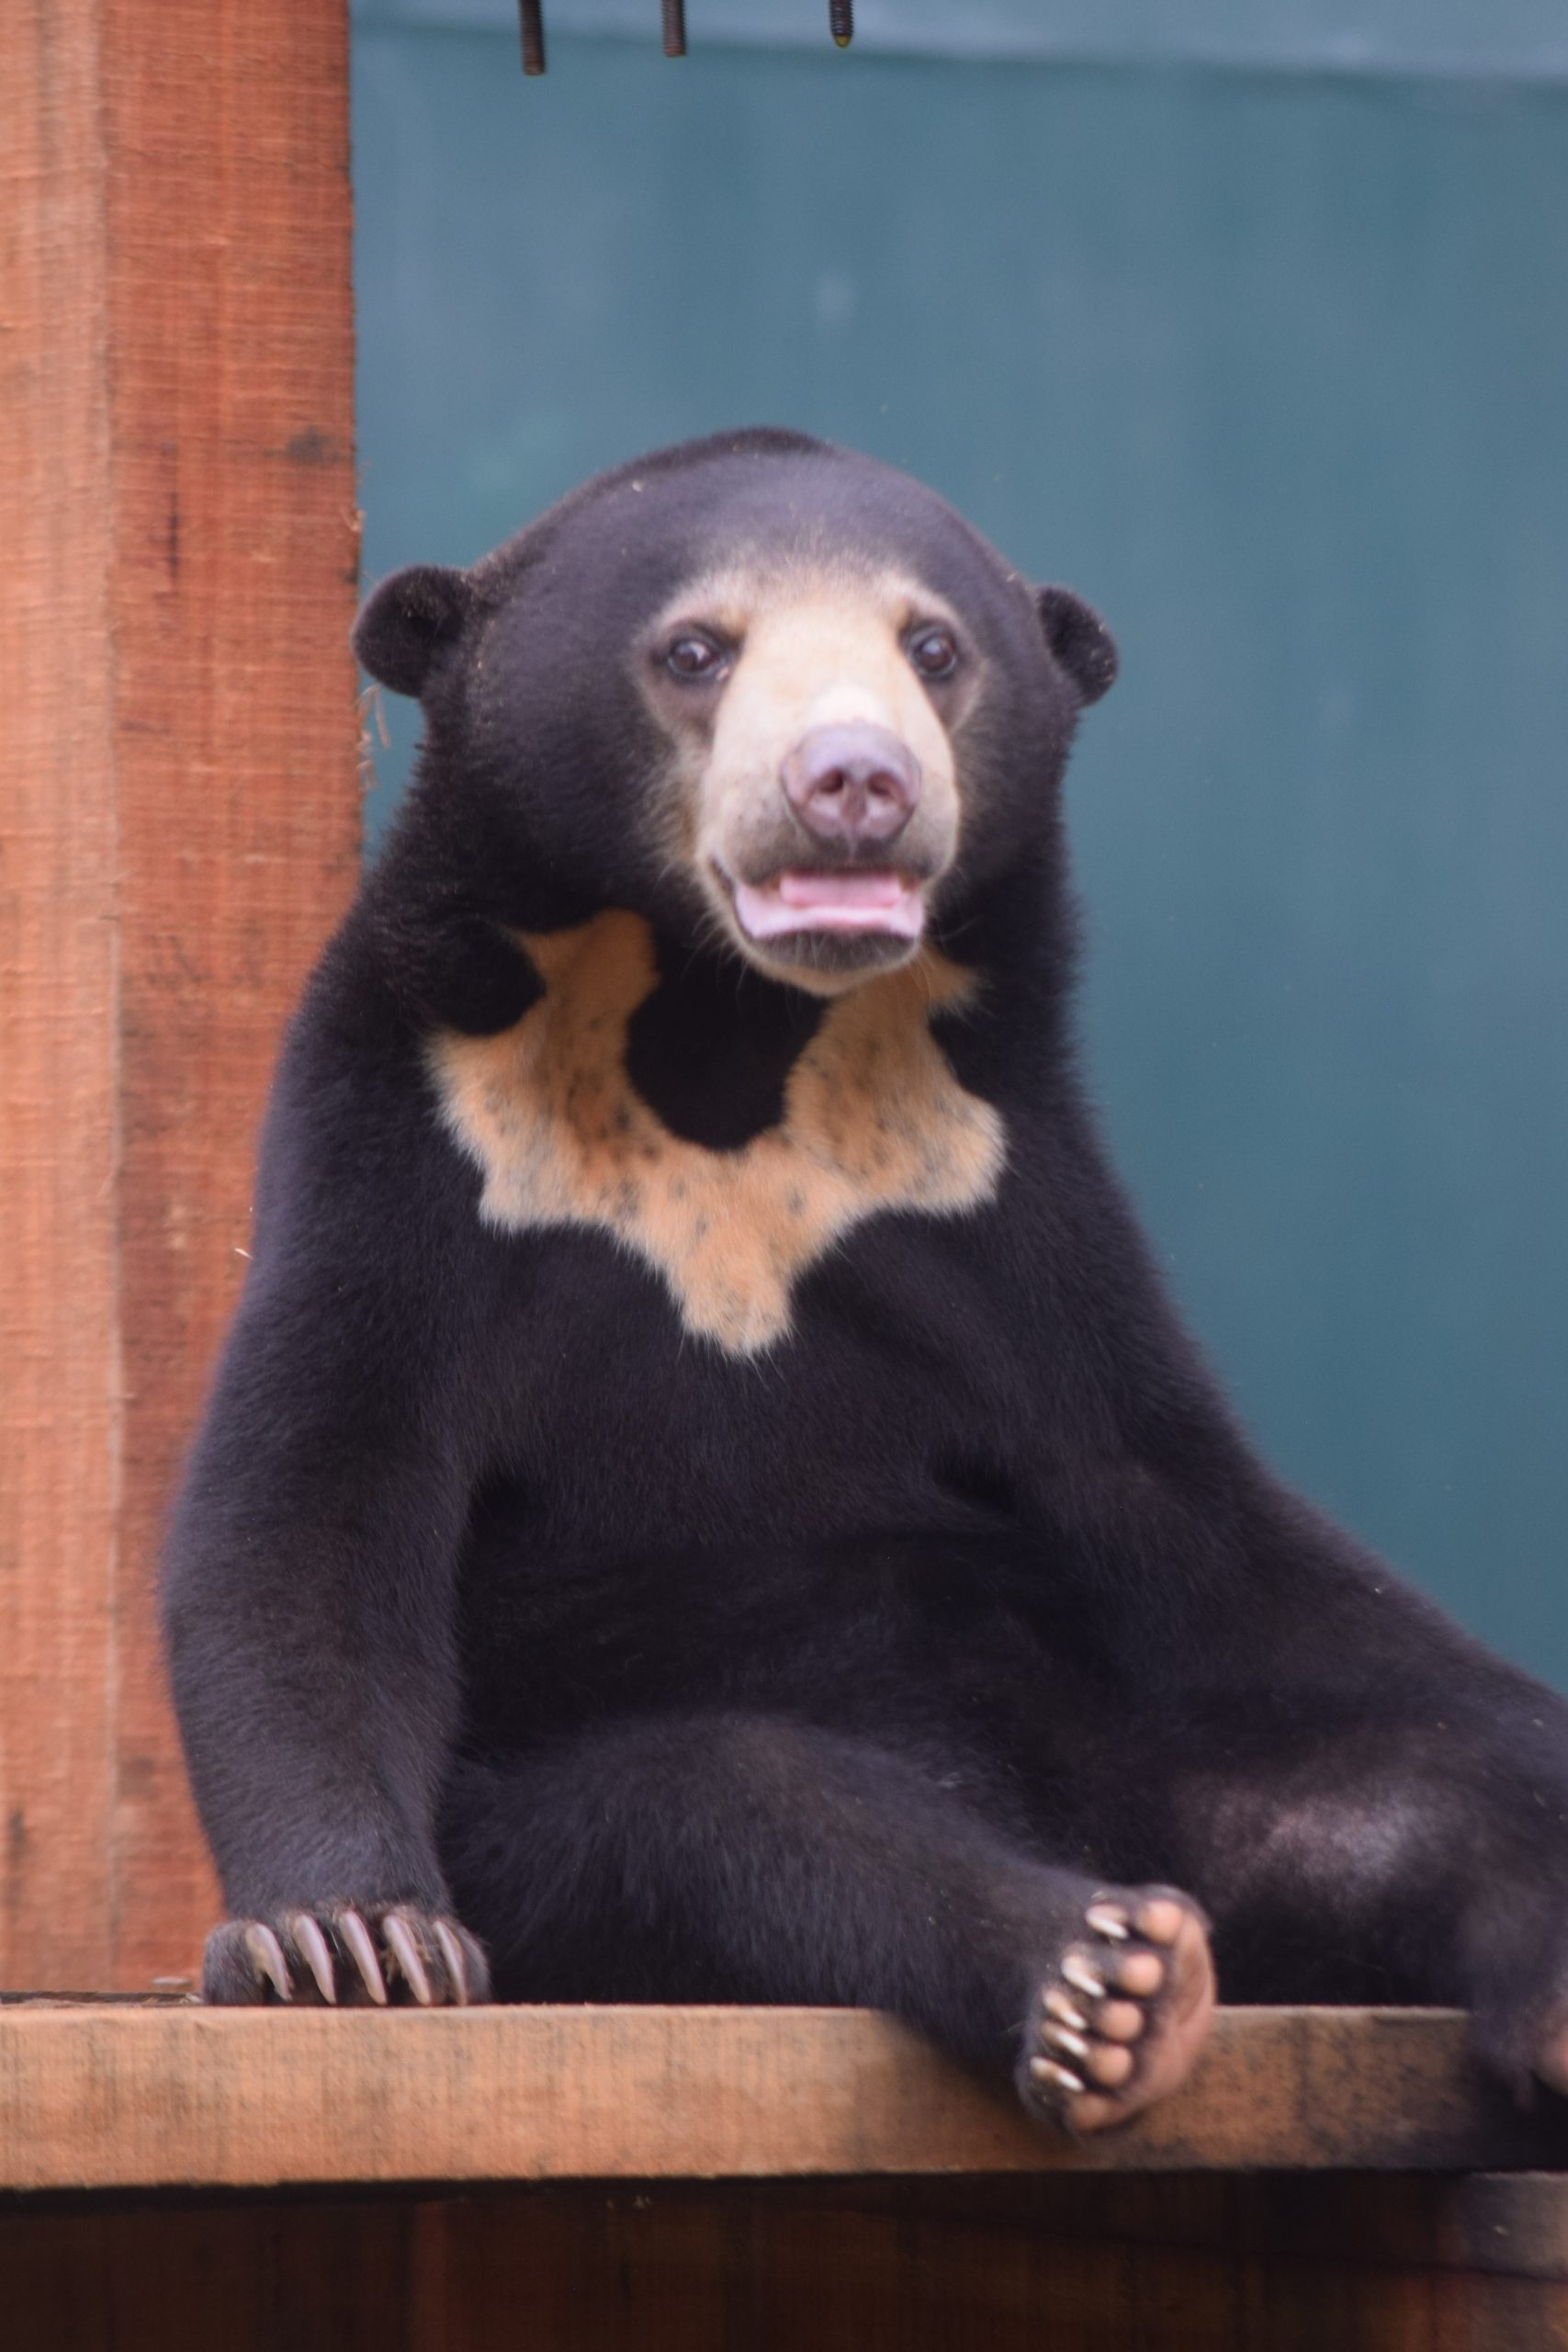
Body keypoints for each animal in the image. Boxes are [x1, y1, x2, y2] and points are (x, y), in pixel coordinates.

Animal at [164, 426, 1568, 2135]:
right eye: (696, 651)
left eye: (934, 648)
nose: (854, 784)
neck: (727, 1044)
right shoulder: (417, 1139)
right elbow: (313, 1497)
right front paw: (349, 1942)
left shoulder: (997, 1195)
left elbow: (1204, 1525)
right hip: (554, 1834)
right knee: (731, 1811)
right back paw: (1108, 1982)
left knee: (1400, 1793)